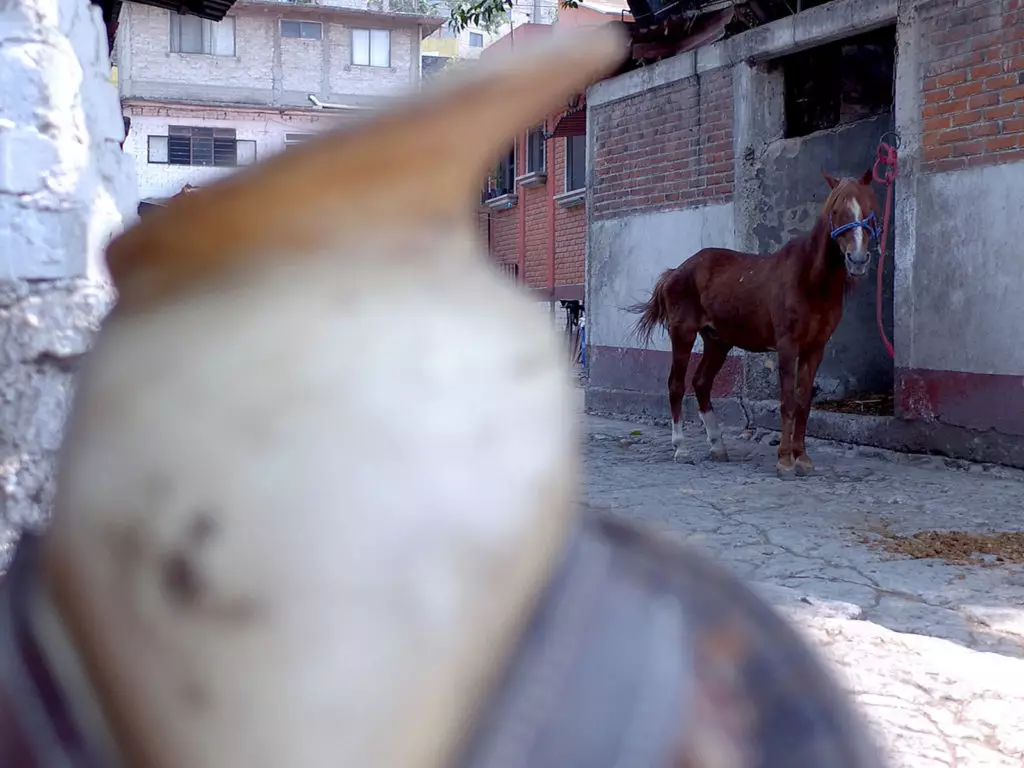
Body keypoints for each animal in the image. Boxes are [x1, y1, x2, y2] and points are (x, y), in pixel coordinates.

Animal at [630, 171, 880, 479]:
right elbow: (787, 401)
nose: (857, 260)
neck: (809, 282)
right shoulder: (787, 346)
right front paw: (785, 461)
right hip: (683, 334)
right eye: (835, 211)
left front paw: (802, 458)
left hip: (718, 341)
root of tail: (677, 270)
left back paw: (718, 446)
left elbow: (803, 401)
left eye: (869, 210)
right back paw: (682, 449)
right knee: (676, 385)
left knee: (701, 383)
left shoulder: (815, 348)